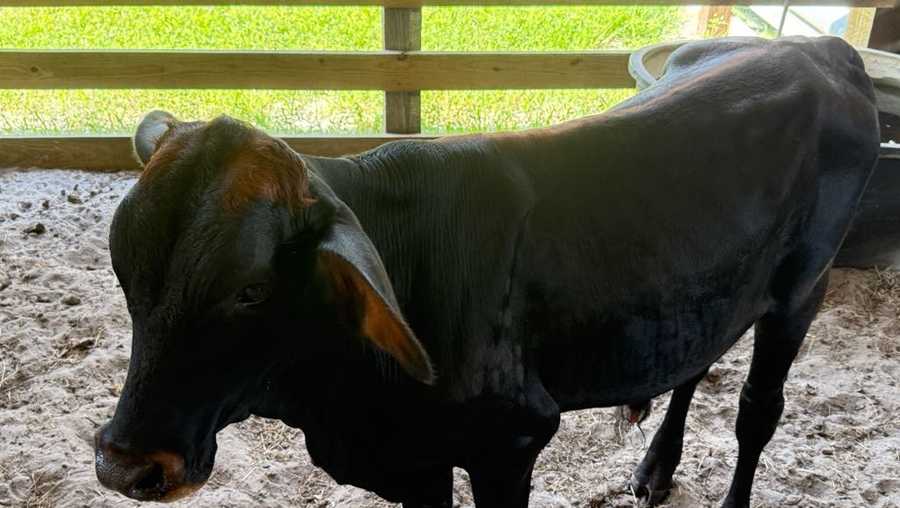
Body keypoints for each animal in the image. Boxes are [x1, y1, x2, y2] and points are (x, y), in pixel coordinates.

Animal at [94, 36, 879, 508]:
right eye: (125, 274)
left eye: (250, 290)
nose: (127, 466)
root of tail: (819, 48)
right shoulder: (419, 464)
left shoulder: (512, 442)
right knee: (696, 362)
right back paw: (656, 470)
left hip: (802, 290)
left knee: (757, 413)